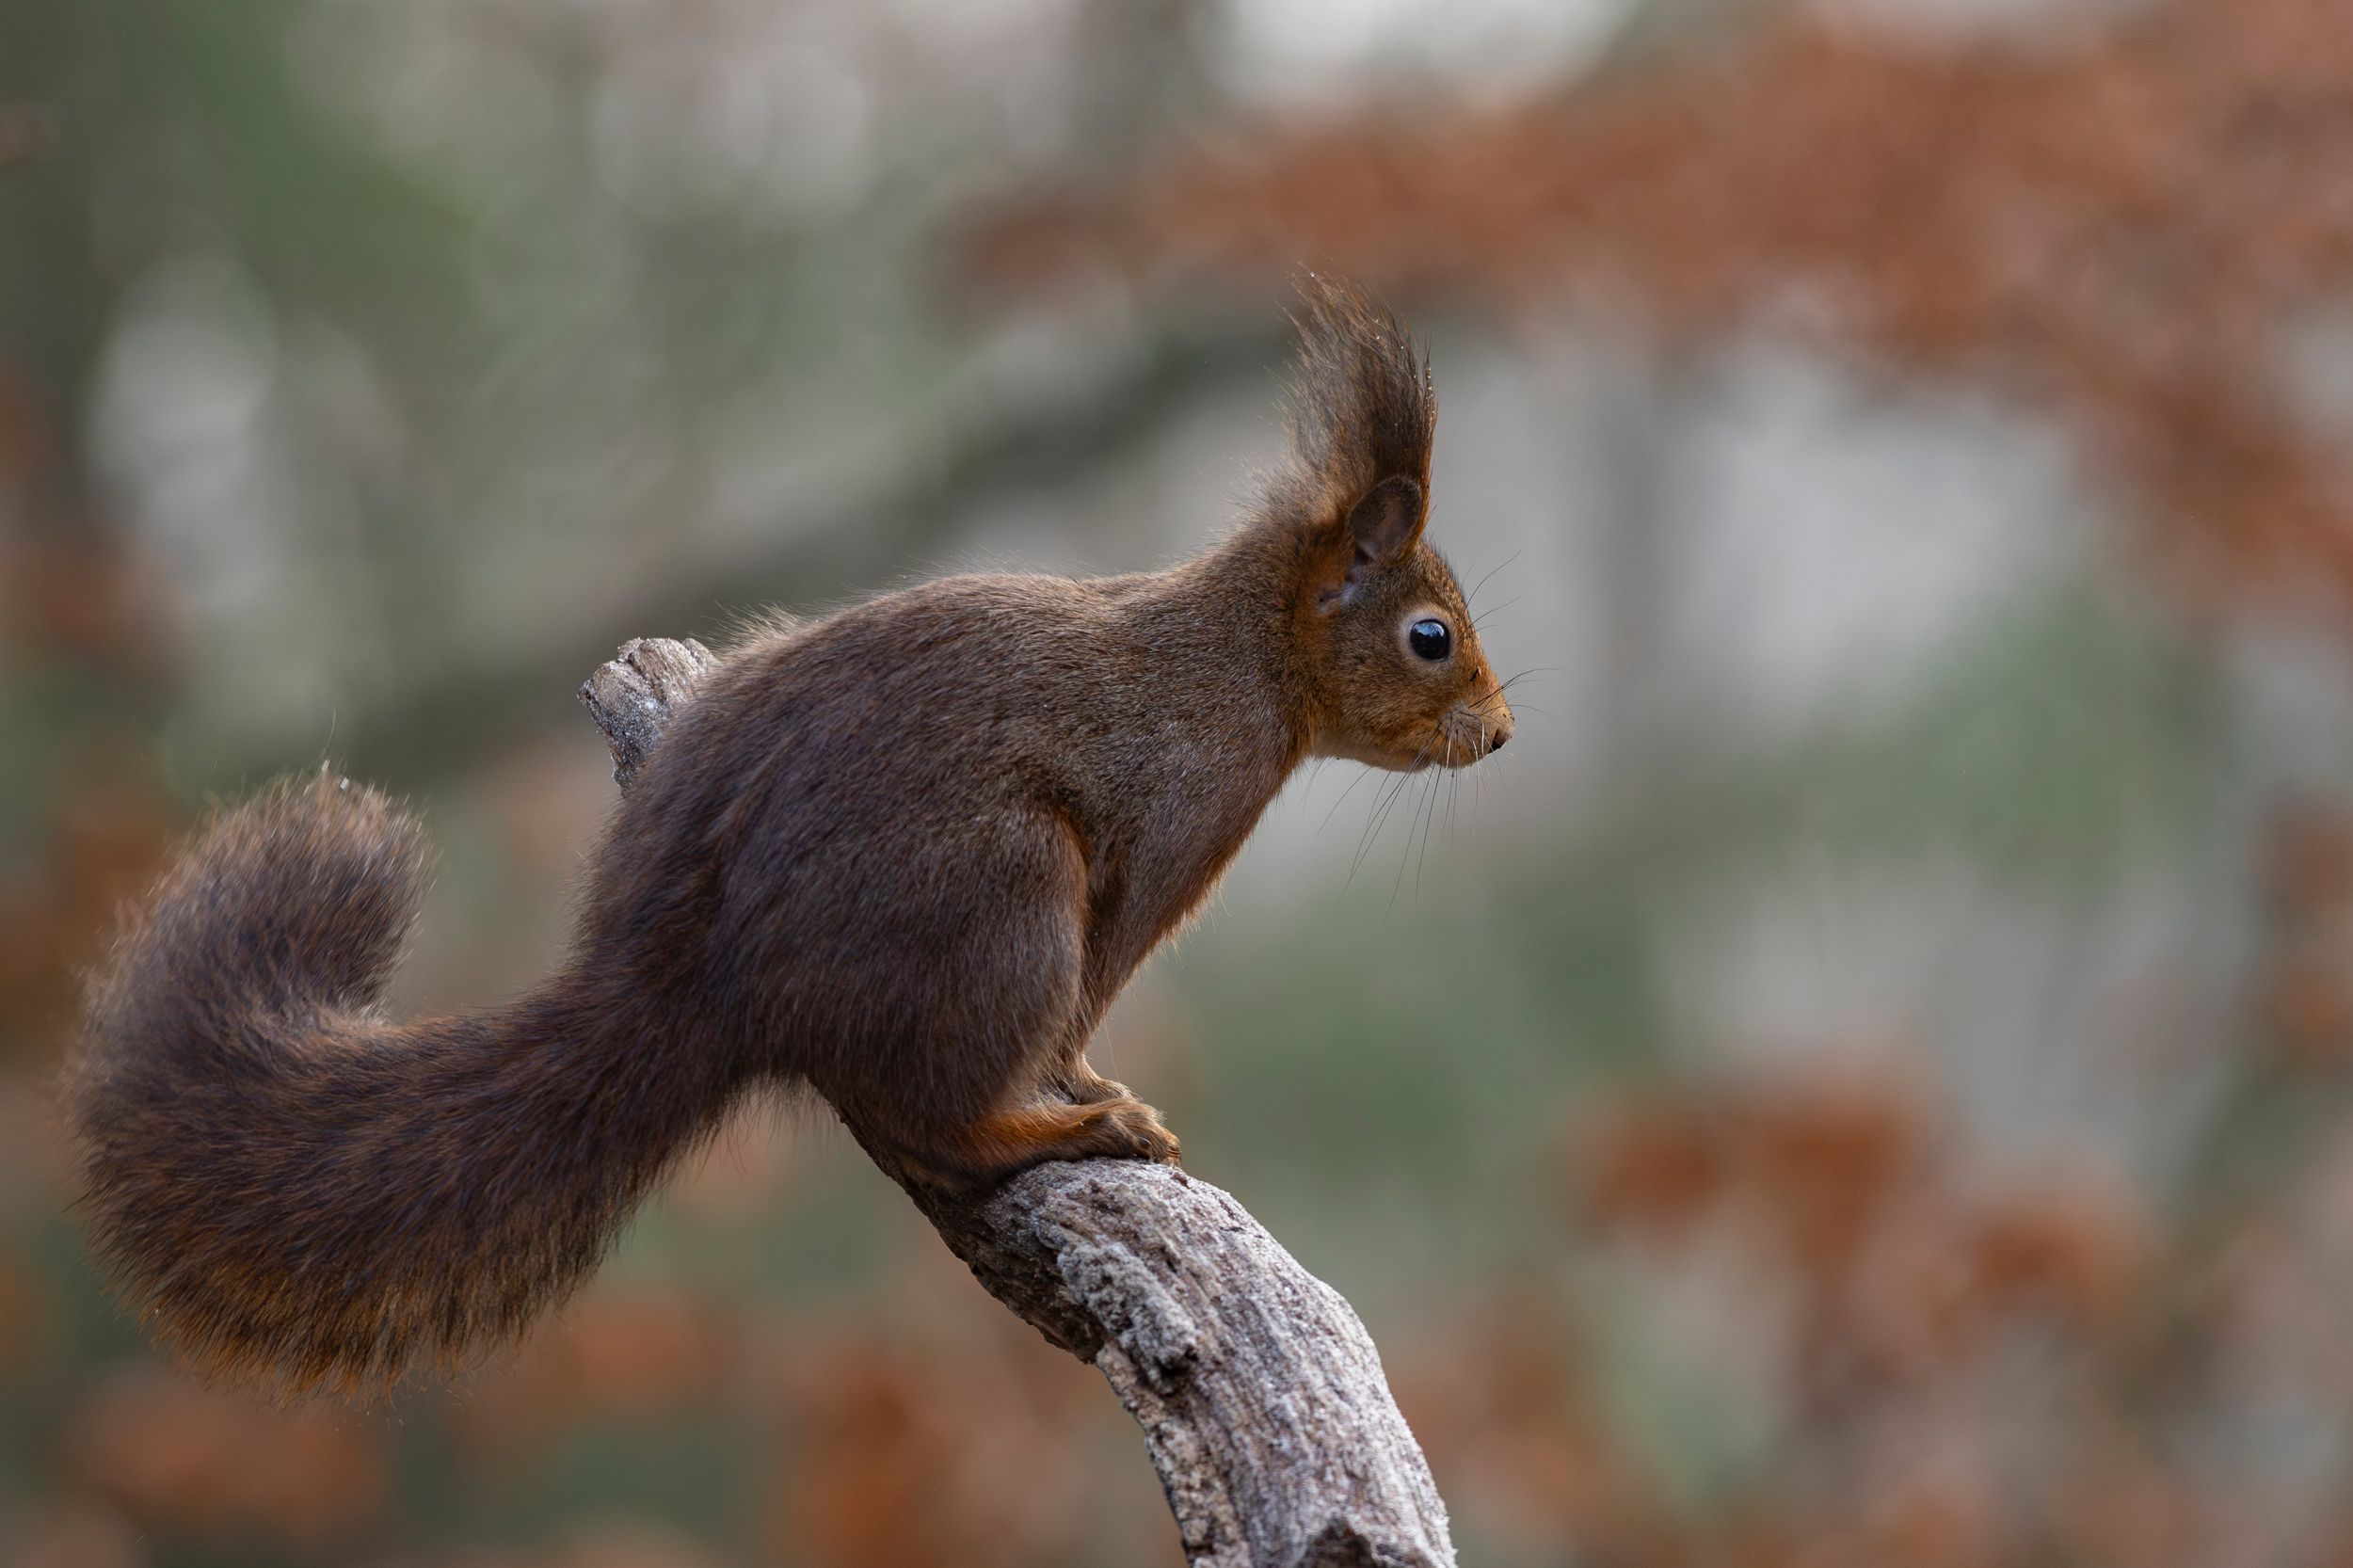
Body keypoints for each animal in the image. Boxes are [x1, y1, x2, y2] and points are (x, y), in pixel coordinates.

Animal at [66, 278, 1514, 1397]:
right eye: (1428, 636)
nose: (1501, 736)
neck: (1239, 661)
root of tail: (701, 981)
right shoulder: (1156, 835)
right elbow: (1092, 994)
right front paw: (1088, 1082)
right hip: (996, 897)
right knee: (936, 1118)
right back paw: (1056, 1129)